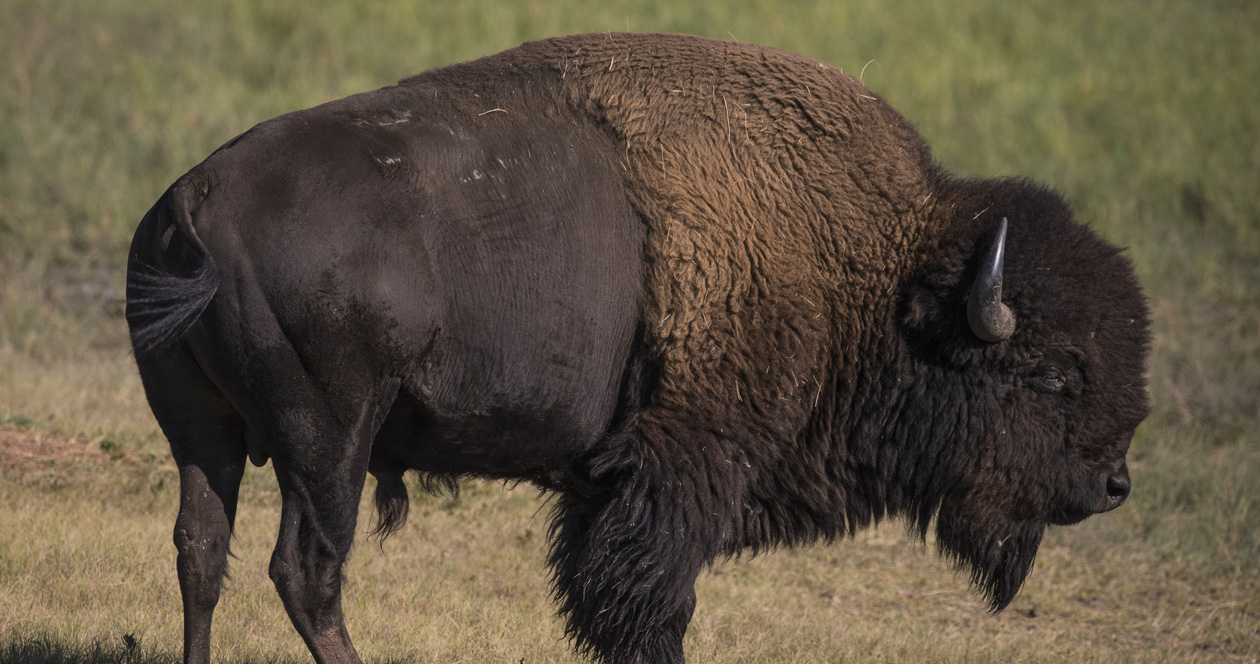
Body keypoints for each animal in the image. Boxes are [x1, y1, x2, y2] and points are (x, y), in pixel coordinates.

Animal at [126, 32, 1150, 664]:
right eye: (1051, 372)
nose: (1113, 484)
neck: (877, 274)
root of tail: (195, 202)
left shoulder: (610, 488)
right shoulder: (679, 475)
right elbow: (648, 605)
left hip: (202, 434)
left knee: (200, 550)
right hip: (326, 441)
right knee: (306, 571)